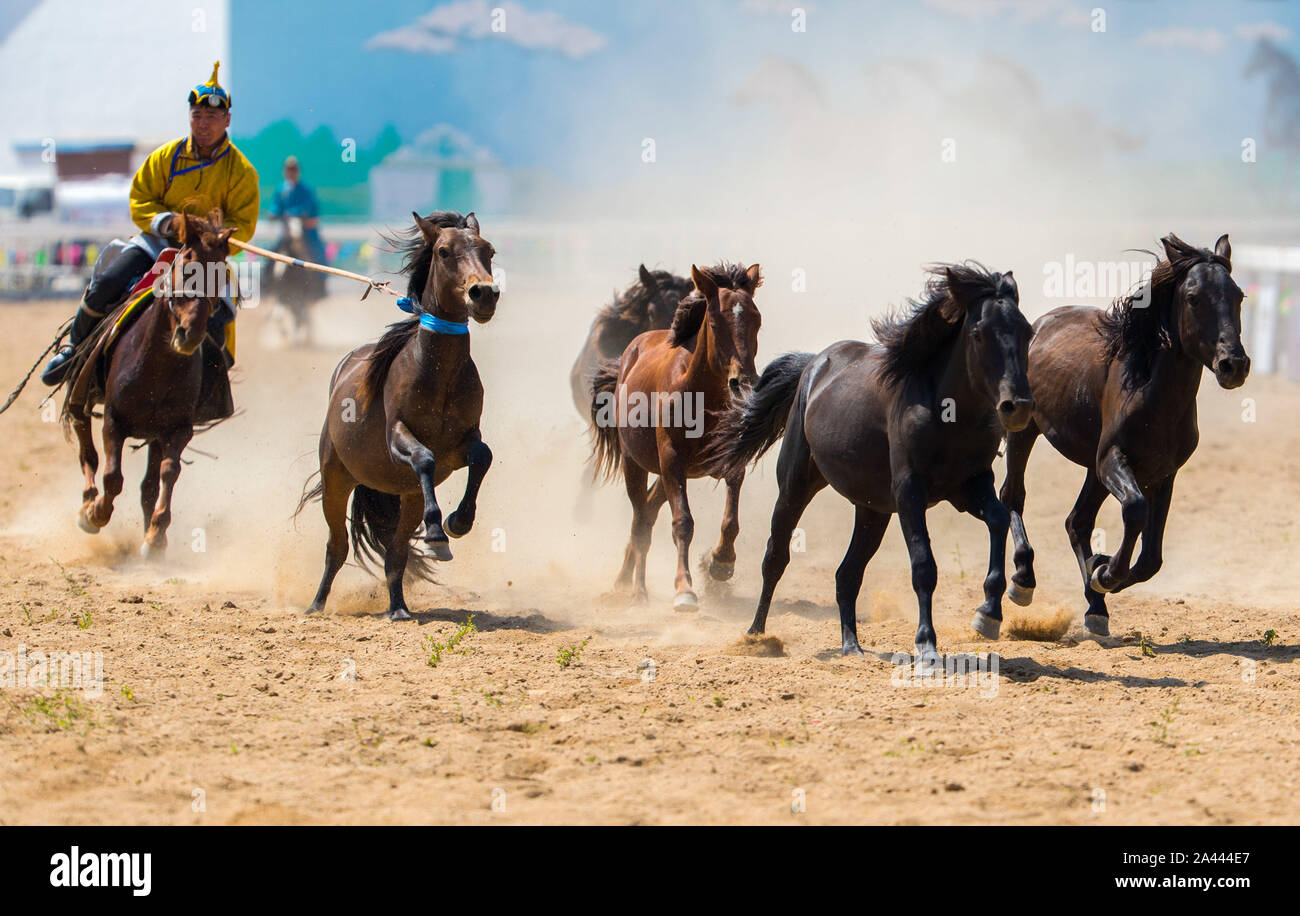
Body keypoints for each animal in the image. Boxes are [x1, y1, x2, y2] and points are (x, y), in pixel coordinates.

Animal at [64, 209, 234, 558]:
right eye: (187, 264)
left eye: (221, 273)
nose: (189, 334)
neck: (157, 367)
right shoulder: (113, 421)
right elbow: (112, 476)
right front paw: (96, 513)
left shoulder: (177, 429)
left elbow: (168, 473)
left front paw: (156, 535)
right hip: (81, 391)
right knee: (86, 444)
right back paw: (88, 501)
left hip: (155, 432)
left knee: (149, 483)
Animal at [298, 210, 499, 621]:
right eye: (443, 251)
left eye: (489, 250)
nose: (484, 293)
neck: (437, 372)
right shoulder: (397, 439)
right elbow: (423, 457)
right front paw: (438, 531)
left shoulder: (462, 443)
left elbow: (482, 455)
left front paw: (458, 521)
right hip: (335, 478)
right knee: (337, 547)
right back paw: (316, 605)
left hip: (407, 498)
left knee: (395, 552)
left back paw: (399, 608)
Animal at [589, 262, 763, 610]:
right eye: (714, 322)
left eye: (757, 319)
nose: (744, 383)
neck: (701, 394)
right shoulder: (671, 459)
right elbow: (682, 521)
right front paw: (684, 589)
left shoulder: (730, 458)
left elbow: (731, 519)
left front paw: (721, 562)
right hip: (635, 464)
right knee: (641, 522)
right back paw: (636, 591)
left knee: (647, 513)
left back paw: (626, 581)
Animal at [708, 263, 1033, 659]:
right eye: (978, 334)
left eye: (1027, 331)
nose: (1018, 406)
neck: (948, 413)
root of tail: (812, 365)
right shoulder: (910, 491)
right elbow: (923, 564)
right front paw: (926, 644)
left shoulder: (970, 486)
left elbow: (999, 518)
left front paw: (988, 612)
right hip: (795, 487)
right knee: (776, 556)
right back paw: (756, 635)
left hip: (873, 510)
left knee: (846, 574)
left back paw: (852, 645)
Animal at [998, 234, 1249, 637]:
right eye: (1194, 297)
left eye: (1238, 295)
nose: (1234, 365)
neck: (1152, 392)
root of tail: (1039, 324)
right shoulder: (1113, 459)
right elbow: (1134, 511)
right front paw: (1104, 571)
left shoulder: (1162, 473)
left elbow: (1151, 559)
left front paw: (1100, 571)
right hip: (1026, 432)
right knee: (1013, 496)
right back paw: (1023, 580)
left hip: (1092, 469)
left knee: (1077, 521)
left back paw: (1096, 608)